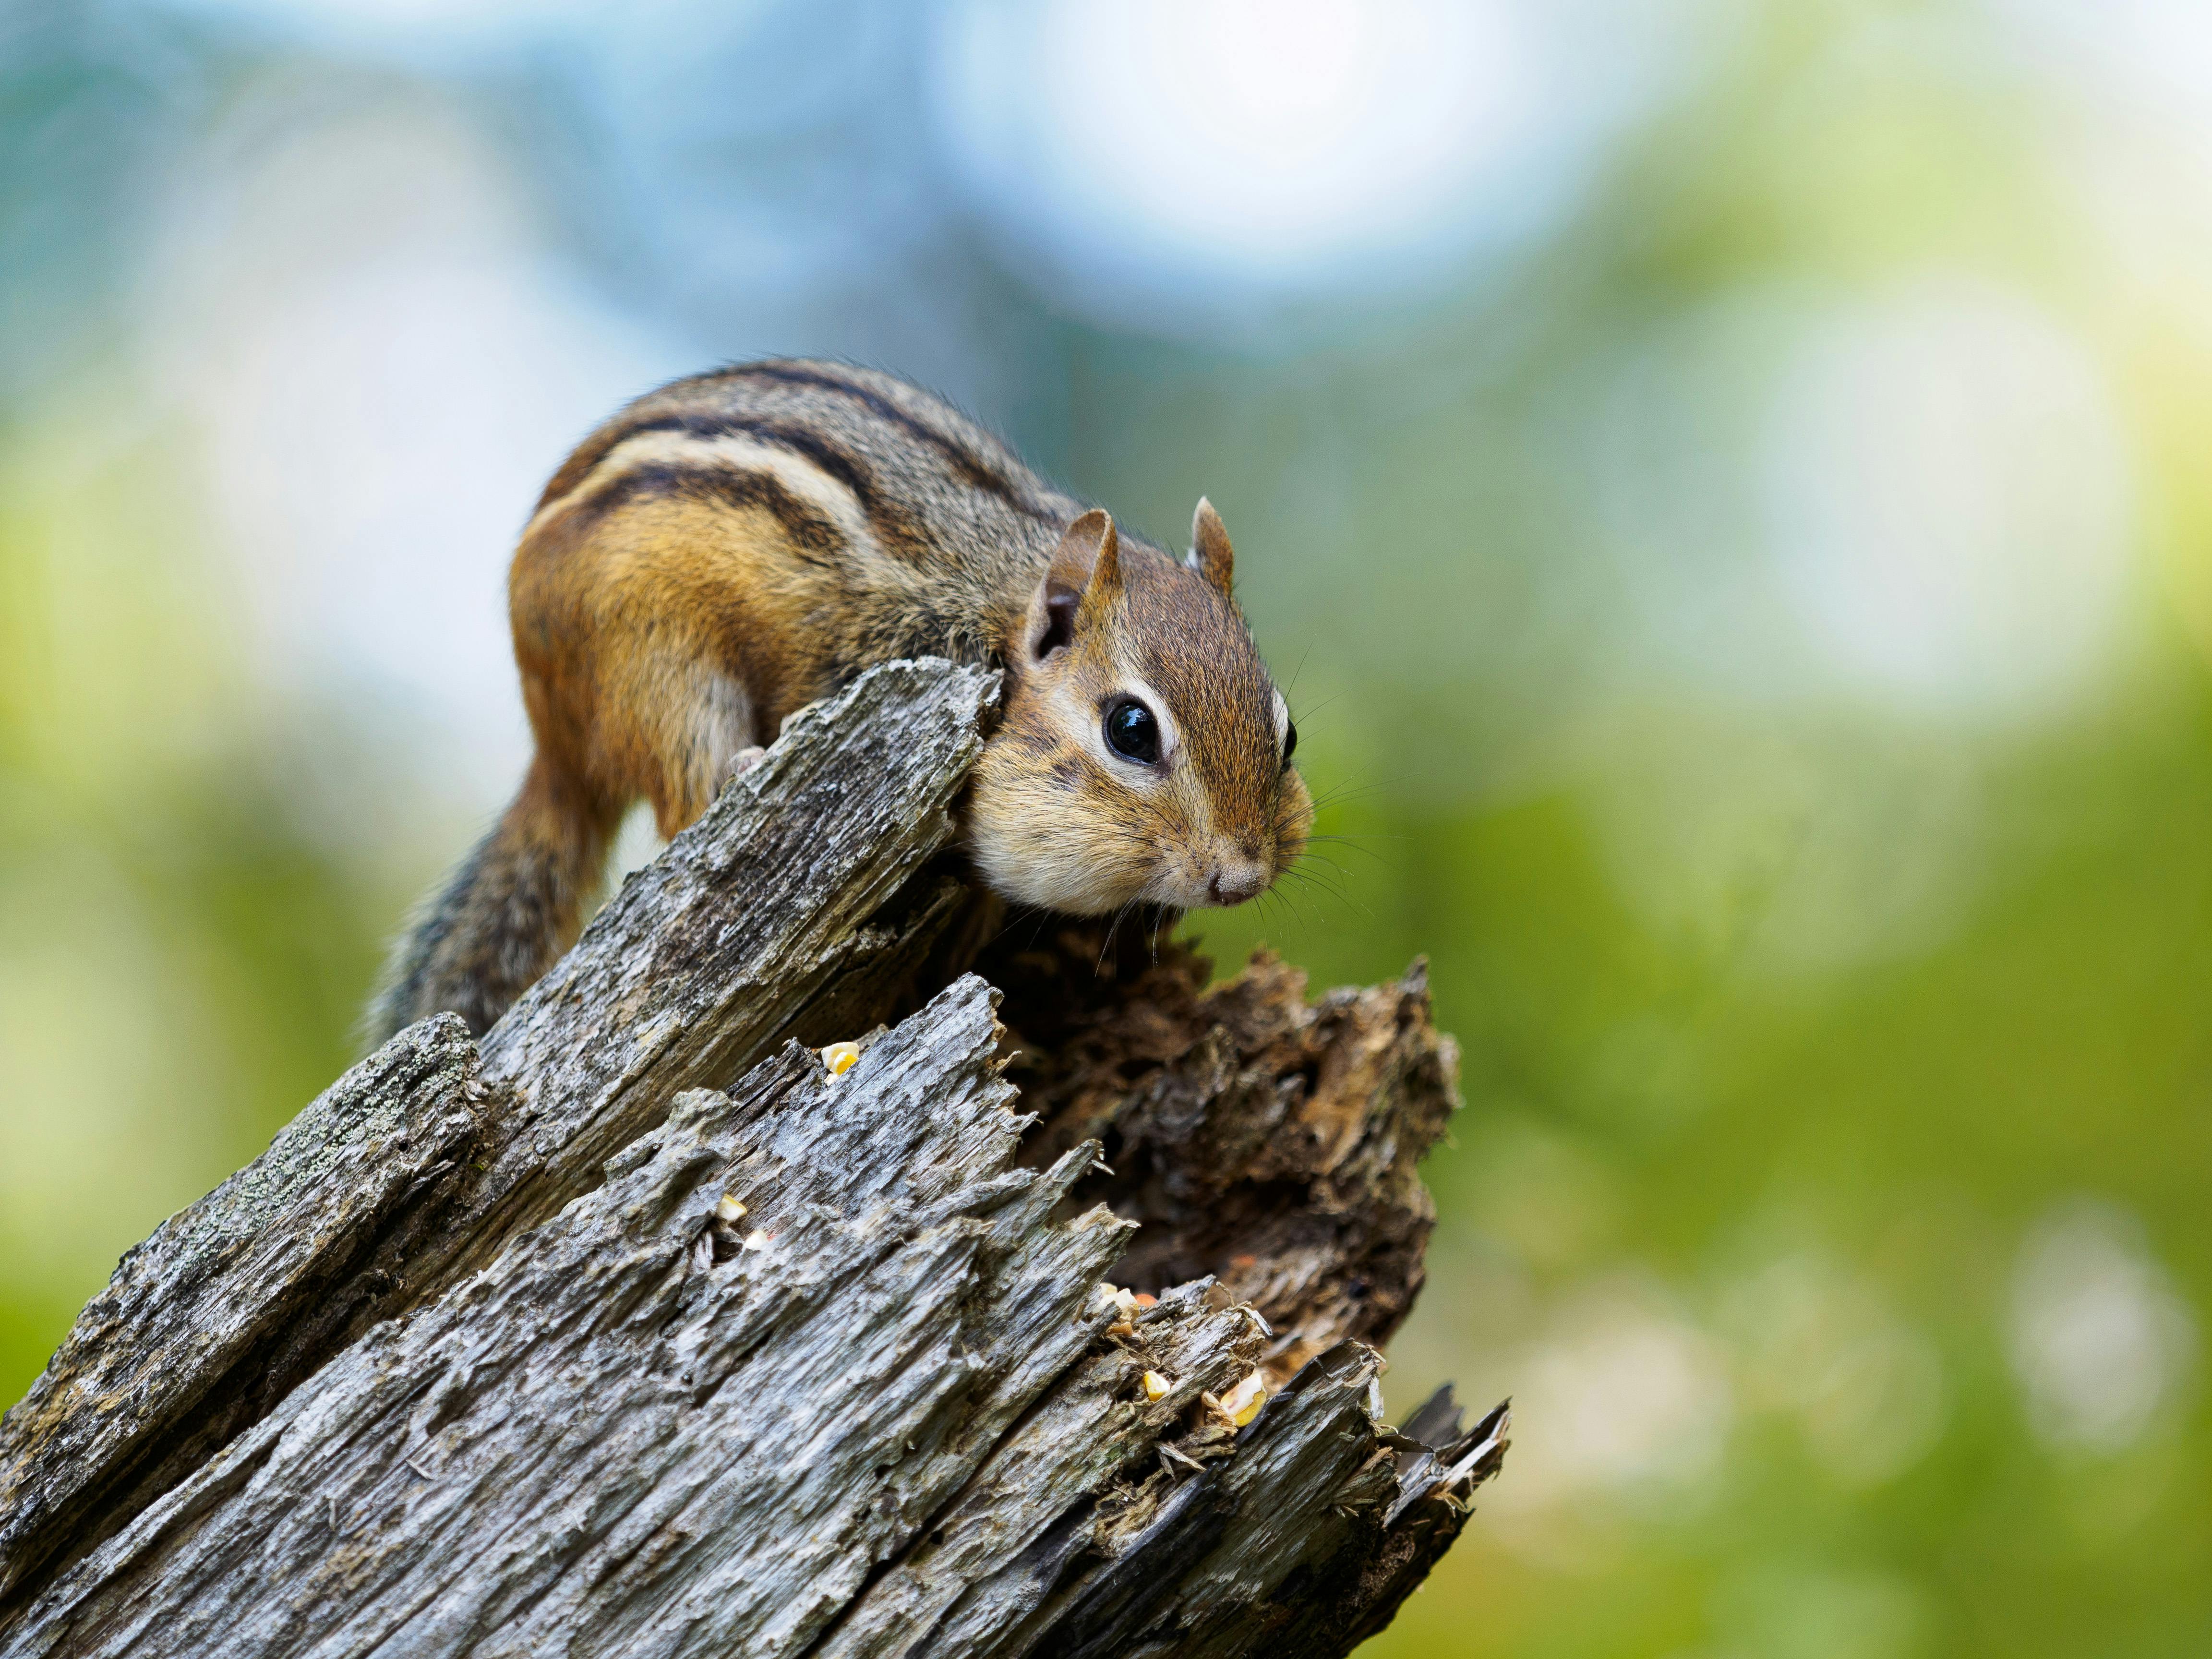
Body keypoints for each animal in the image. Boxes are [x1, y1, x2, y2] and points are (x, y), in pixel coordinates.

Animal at [368, 359, 1312, 1042]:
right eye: (1130, 729)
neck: (992, 616)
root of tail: (552, 742)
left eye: (1289, 733)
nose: (1239, 877)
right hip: (651, 669)